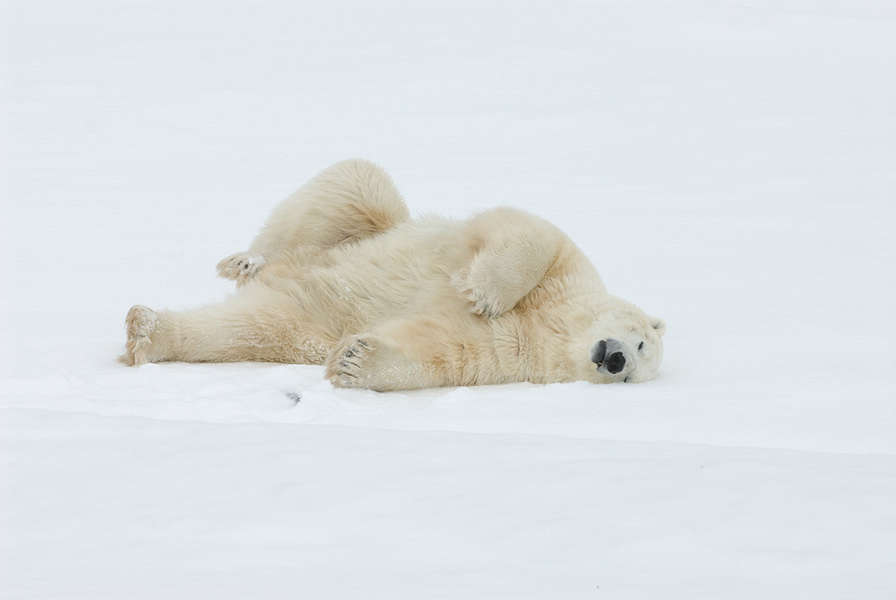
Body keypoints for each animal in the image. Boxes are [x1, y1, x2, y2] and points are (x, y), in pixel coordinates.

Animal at [122, 159, 666, 391]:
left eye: (635, 371)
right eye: (640, 340)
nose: (615, 358)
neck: (551, 323)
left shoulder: (512, 355)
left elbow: (441, 350)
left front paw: (354, 363)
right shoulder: (568, 273)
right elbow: (530, 231)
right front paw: (483, 292)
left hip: (306, 319)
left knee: (247, 327)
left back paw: (148, 332)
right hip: (353, 226)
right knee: (358, 186)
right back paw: (247, 261)